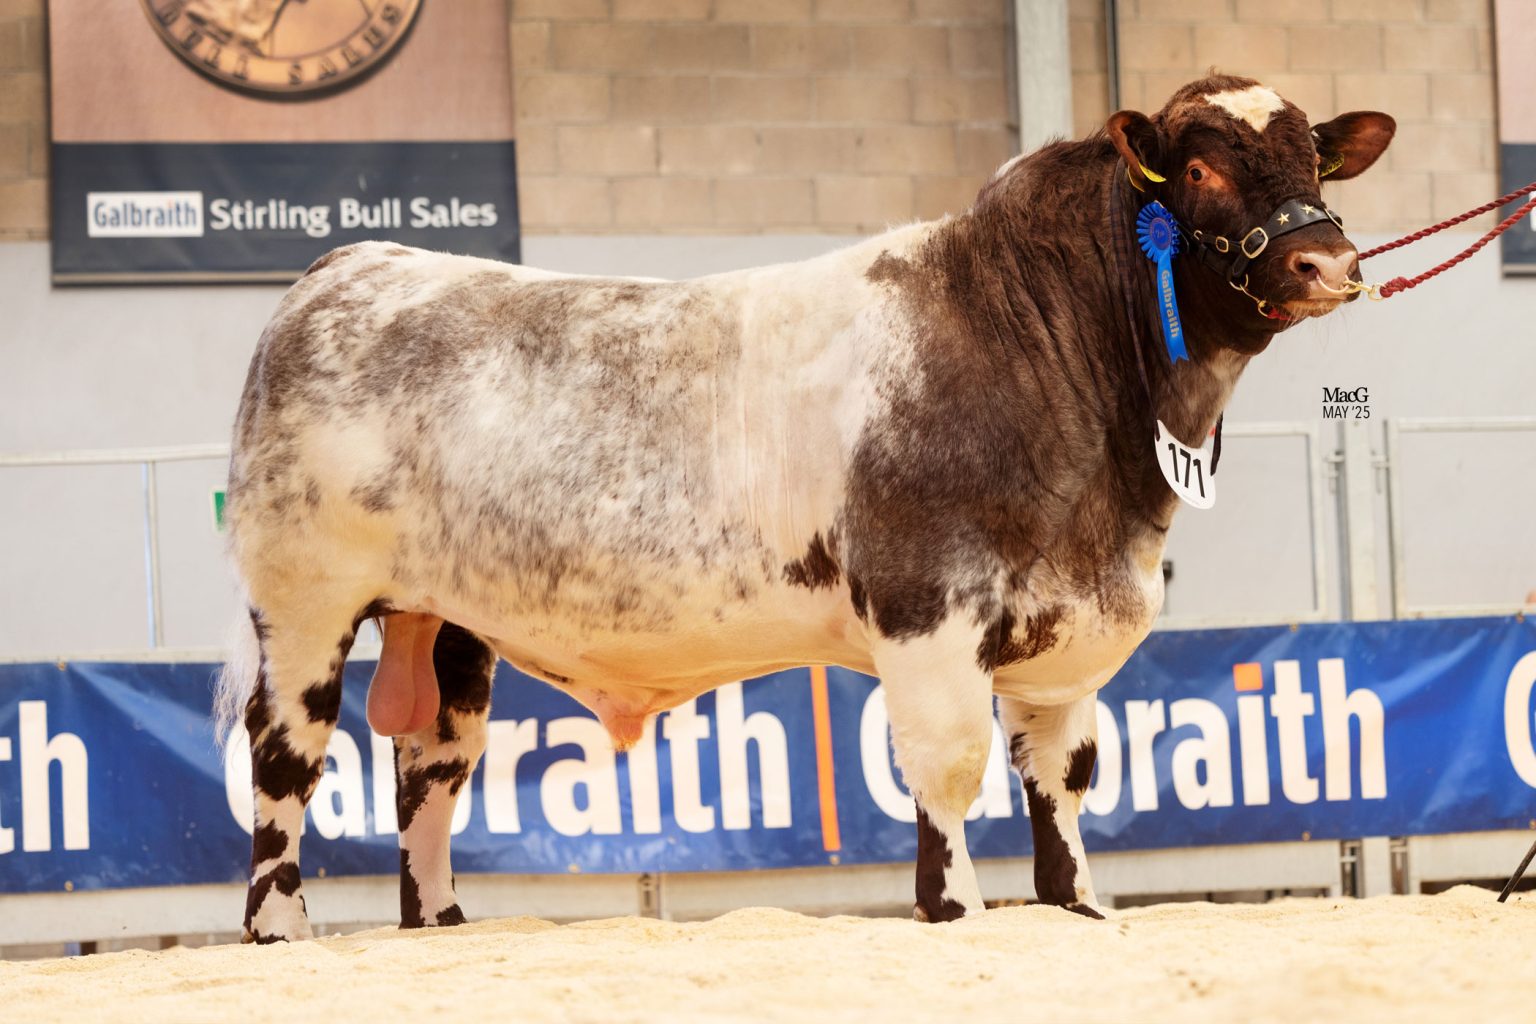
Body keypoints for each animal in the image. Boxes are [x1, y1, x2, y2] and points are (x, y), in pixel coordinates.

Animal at [217, 74, 1394, 942]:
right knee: (283, 753)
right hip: (304, 601)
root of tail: (348, 263)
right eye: (1198, 167)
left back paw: (443, 923)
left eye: (1314, 161)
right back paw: (282, 929)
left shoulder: (1069, 633)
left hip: (447, 619)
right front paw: (952, 908)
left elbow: (1060, 779)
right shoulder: (928, 609)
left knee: (429, 769)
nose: (1329, 260)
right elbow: (948, 764)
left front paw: (1076, 908)